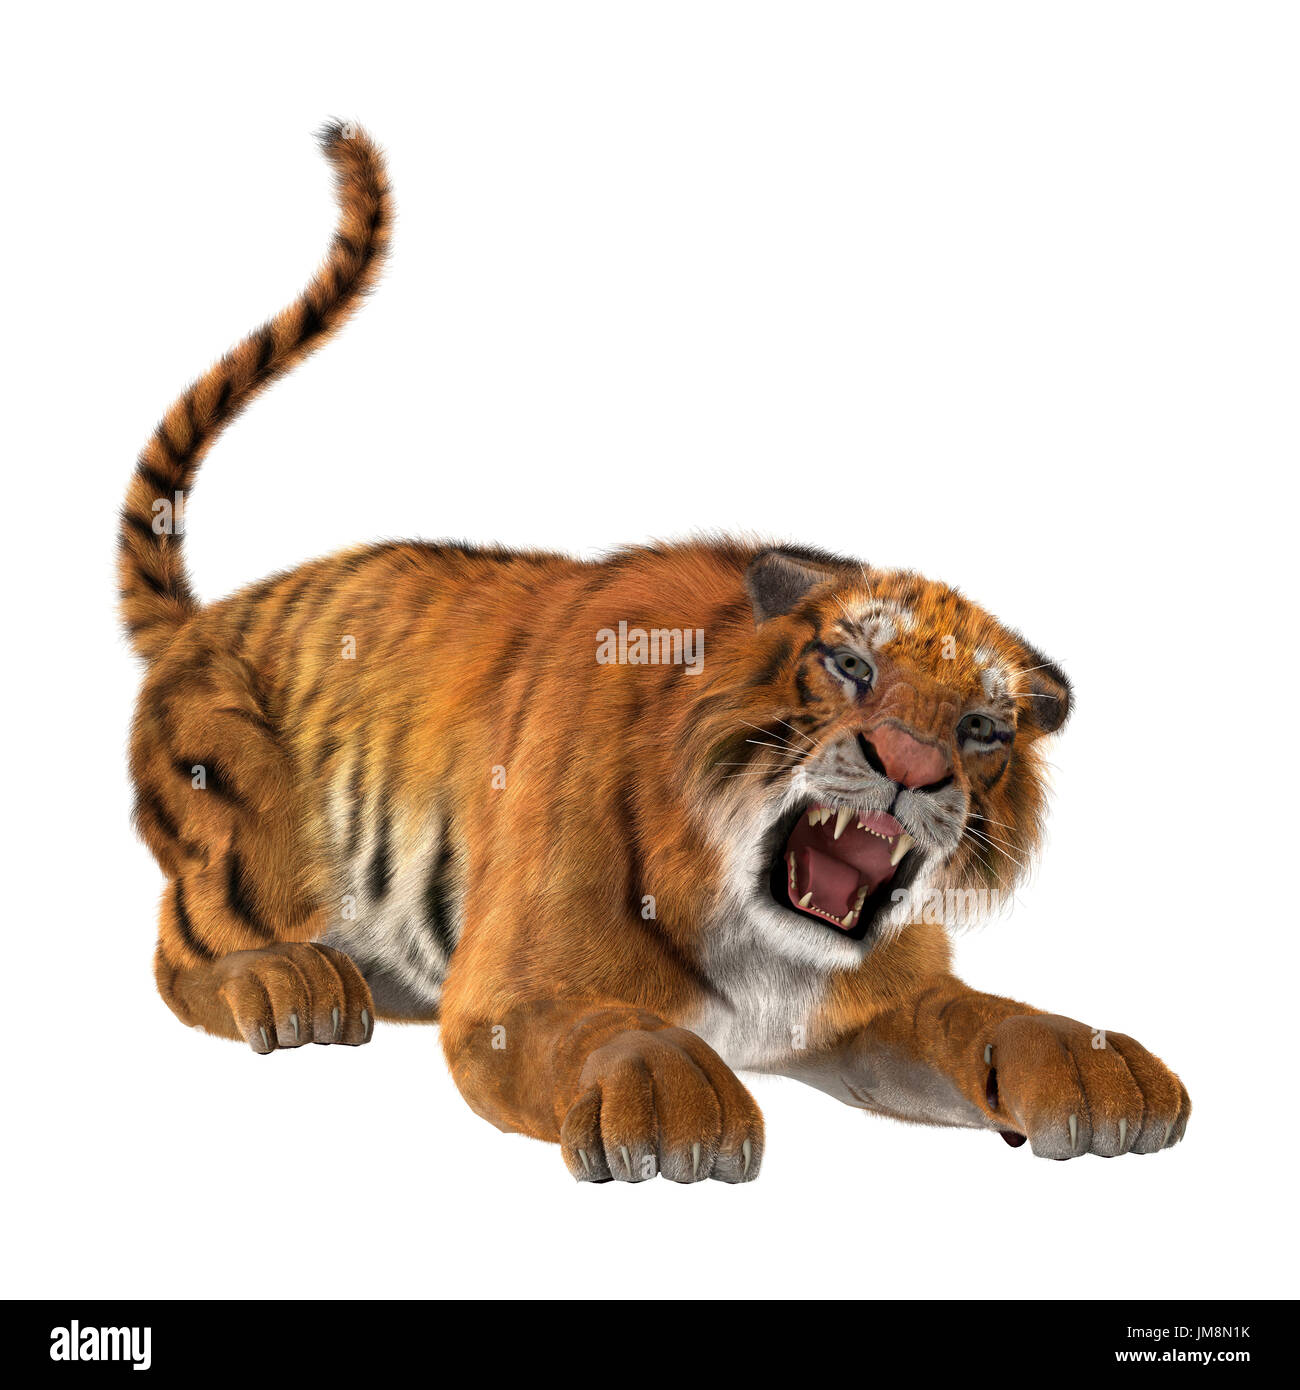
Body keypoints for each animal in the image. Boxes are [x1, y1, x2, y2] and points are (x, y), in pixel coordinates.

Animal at [119, 123, 1189, 1183]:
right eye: (851, 667)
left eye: (981, 728)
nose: (912, 766)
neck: (759, 927)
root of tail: (204, 620)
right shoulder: (511, 994)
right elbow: (610, 1029)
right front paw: (675, 1103)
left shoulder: (875, 1004)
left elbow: (988, 1017)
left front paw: (1100, 1067)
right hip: (249, 823)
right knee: (176, 957)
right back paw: (289, 982)